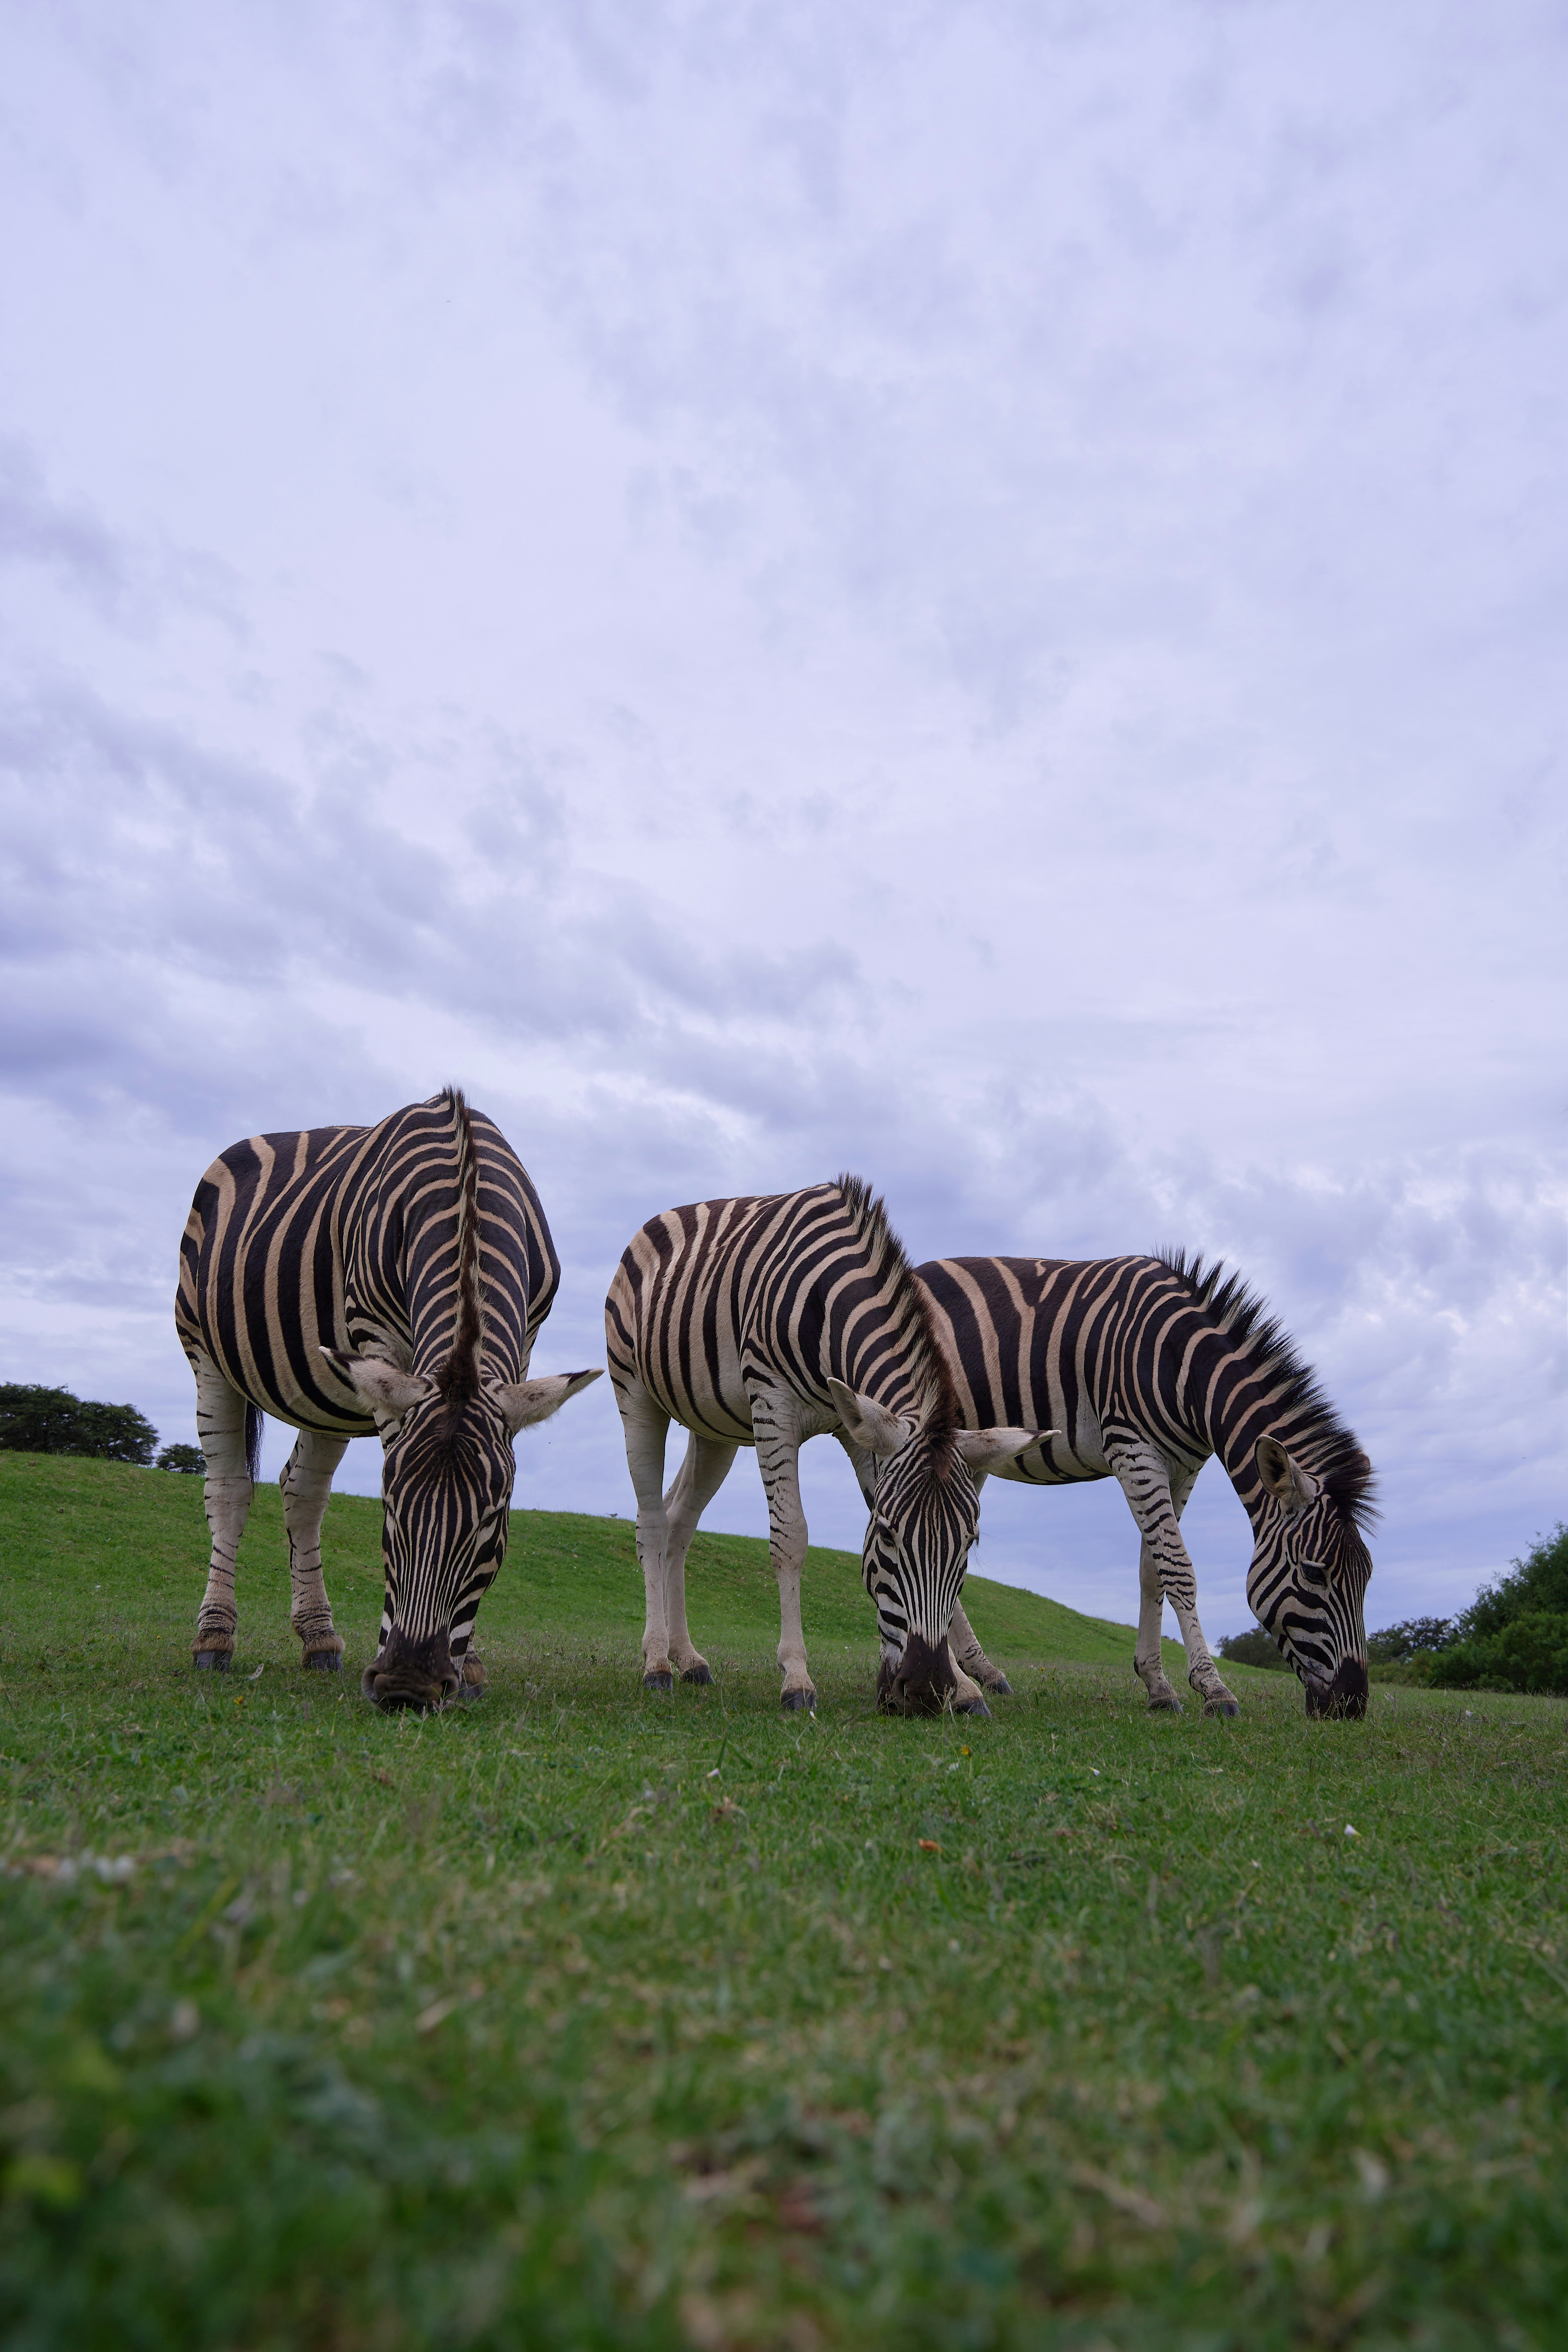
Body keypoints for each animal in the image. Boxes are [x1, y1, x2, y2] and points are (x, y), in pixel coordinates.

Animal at [175, 1087, 601, 1709]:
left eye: (494, 1517)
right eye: (390, 1509)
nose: (406, 1687)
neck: (464, 1187)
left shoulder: (522, 1345)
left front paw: (470, 1666)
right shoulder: (377, 1339)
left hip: (325, 1388)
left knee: (302, 1492)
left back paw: (319, 1639)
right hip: (204, 1350)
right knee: (229, 1489)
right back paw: (214, 1637)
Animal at [605, 1176, 1048, 1714]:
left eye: (969, 1543)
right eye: (888, 1537)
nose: (925, 1690)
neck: (830, 1306)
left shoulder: (856, 1425)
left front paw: (965, 1687)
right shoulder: (773, 1403)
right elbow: (791, 1537)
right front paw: (796, 1677)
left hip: (714, 1427)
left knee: (678, 1522)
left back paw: (688, 1659)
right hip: (636, 1393)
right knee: (651, 1522)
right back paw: (657, 1663)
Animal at [914, 1249, 1376, 1719]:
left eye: (1368, 1577)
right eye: (1314, 1573)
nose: (1353, 1704)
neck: (1186, 1370)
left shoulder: (1182, 1469)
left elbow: (1153, 1570)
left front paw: (1158, 1685)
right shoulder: (1132, 1451)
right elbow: (1179, 1568)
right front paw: (1214, 1689)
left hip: (971, 1452)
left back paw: (981, 1672)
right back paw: (960, 1685)